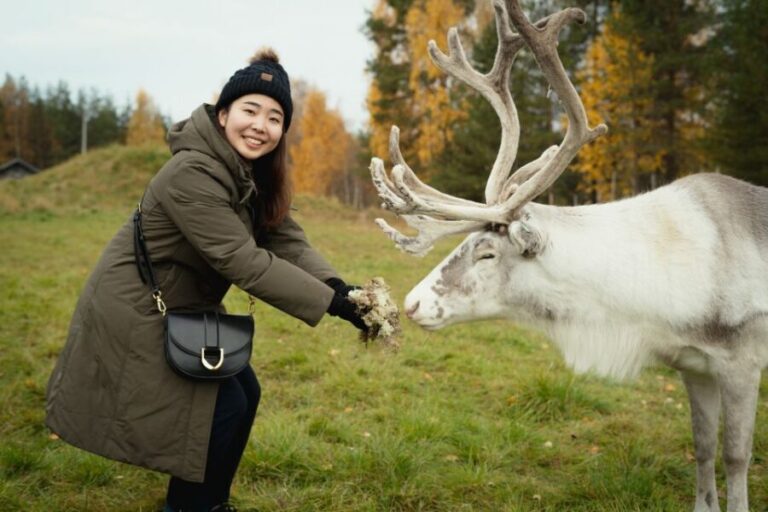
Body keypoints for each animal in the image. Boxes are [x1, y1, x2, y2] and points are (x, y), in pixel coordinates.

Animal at [368, 1, 767, 511]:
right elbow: (702, 448)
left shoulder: (742, 361)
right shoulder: (694, 365)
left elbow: (735, 456)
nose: (412, 303)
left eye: (487, 253)